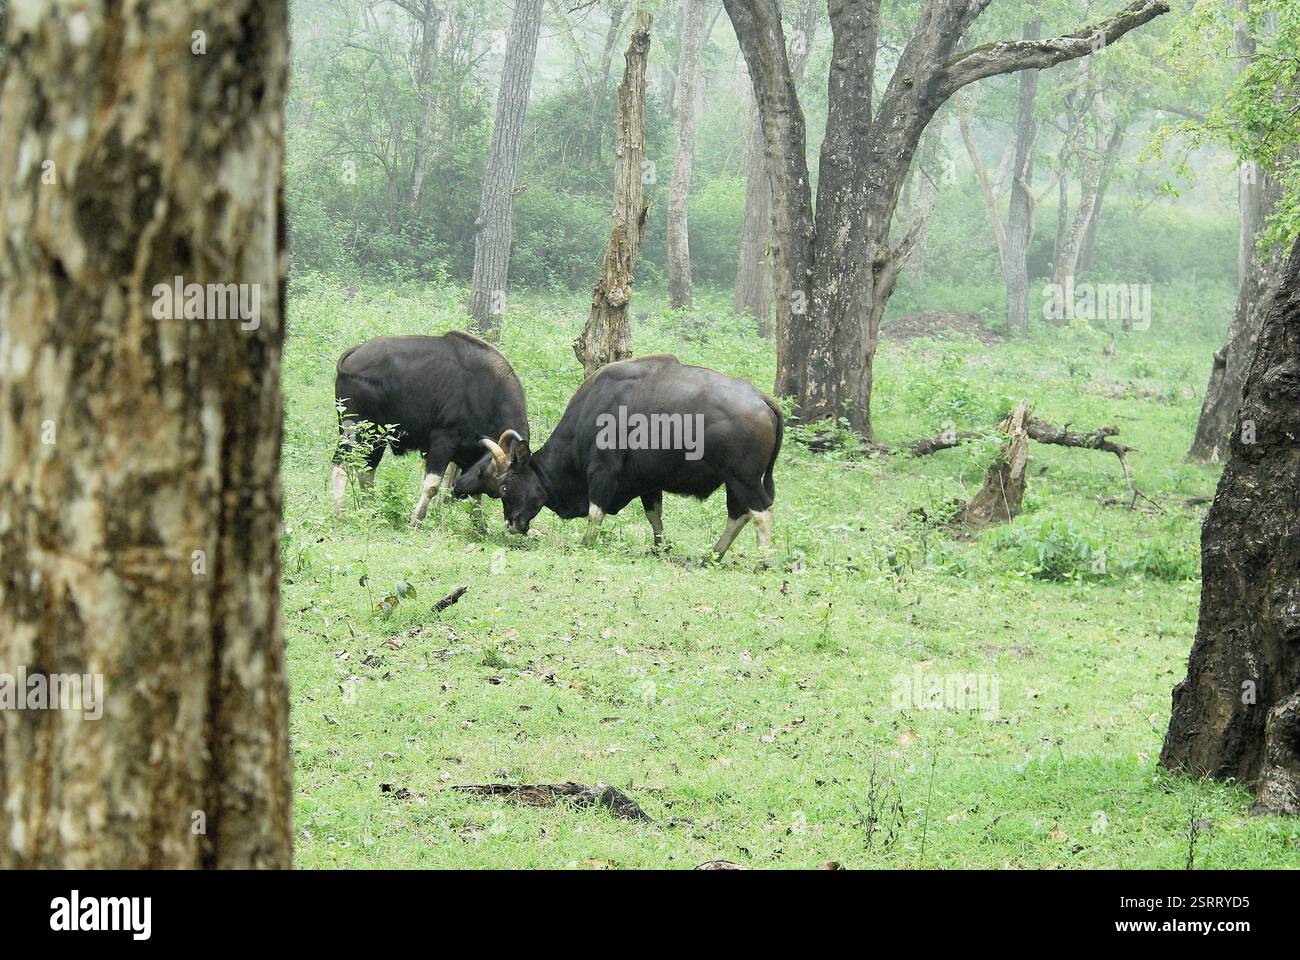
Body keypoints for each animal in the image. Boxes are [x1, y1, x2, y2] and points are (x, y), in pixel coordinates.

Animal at [332, 332, 528, 524]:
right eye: (503, 486)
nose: (517, 522)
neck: (486, 392)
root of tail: (354, 354)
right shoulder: (443, 441)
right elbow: (432, 485)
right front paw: (416, 520)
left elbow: (474, 495)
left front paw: (479, 526)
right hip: (359, 431)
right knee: (342, 467)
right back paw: (342, 515)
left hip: (374, 438)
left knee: (365, 470)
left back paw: (371, 511)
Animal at [456, 355, 782, 558]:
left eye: (505, 487)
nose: (512, 523)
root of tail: (761, 399)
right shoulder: (649, 482)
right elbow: (654, 516)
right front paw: (661, 549)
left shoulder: (603, 472)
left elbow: (595, 511)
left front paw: (586, 543)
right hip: (734, 481)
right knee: (739, 513)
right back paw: (713, 554)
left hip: (743, 478)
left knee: (760, 511)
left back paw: (763, 560)